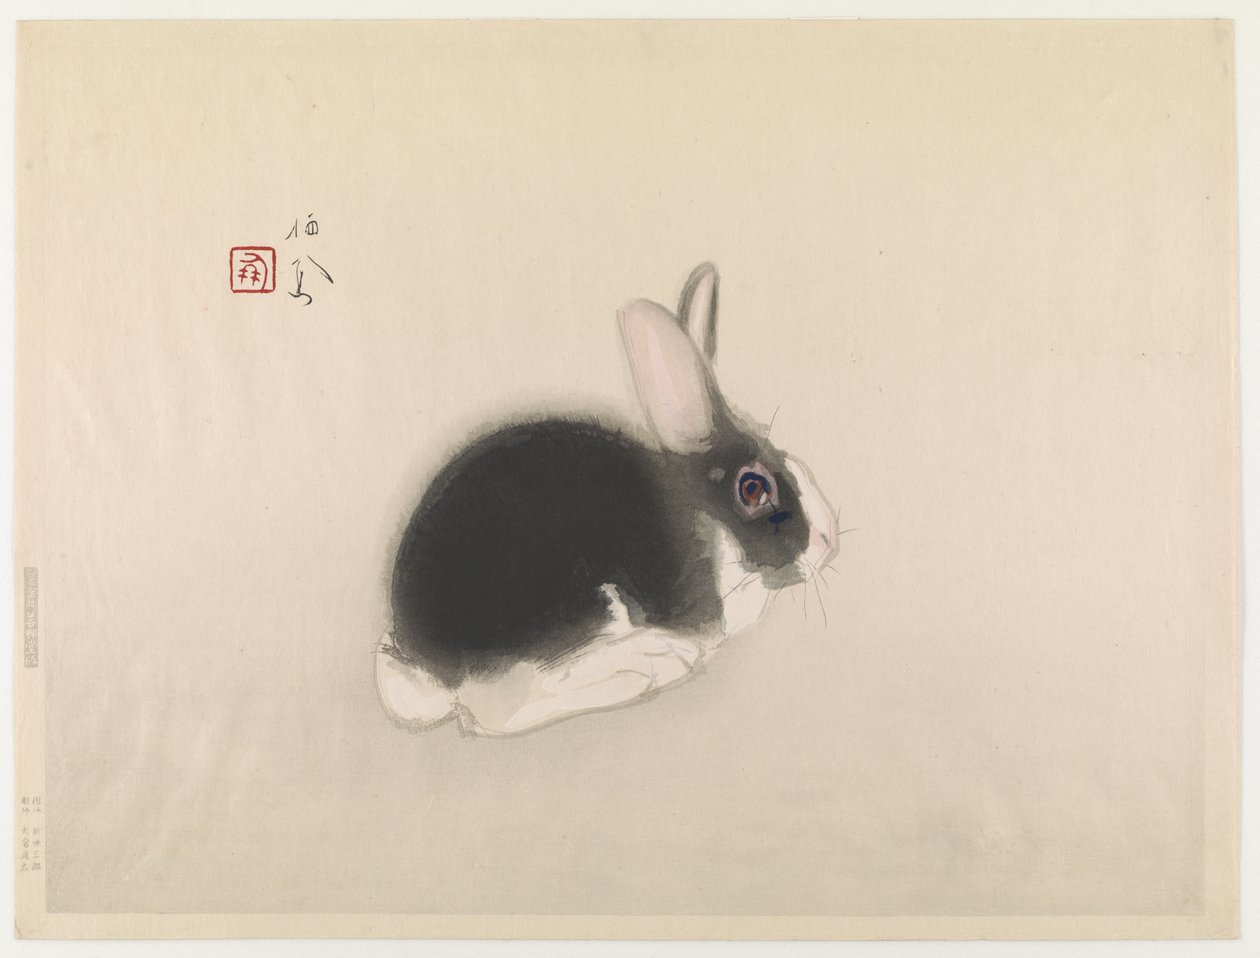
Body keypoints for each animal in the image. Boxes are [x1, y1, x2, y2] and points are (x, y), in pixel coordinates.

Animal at [375, 263, 840, 736]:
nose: (828, 541)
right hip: (588, 601)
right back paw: (651, 665)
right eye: (752, 489)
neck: (709, 525)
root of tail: (423, 662)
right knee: (500, 708)